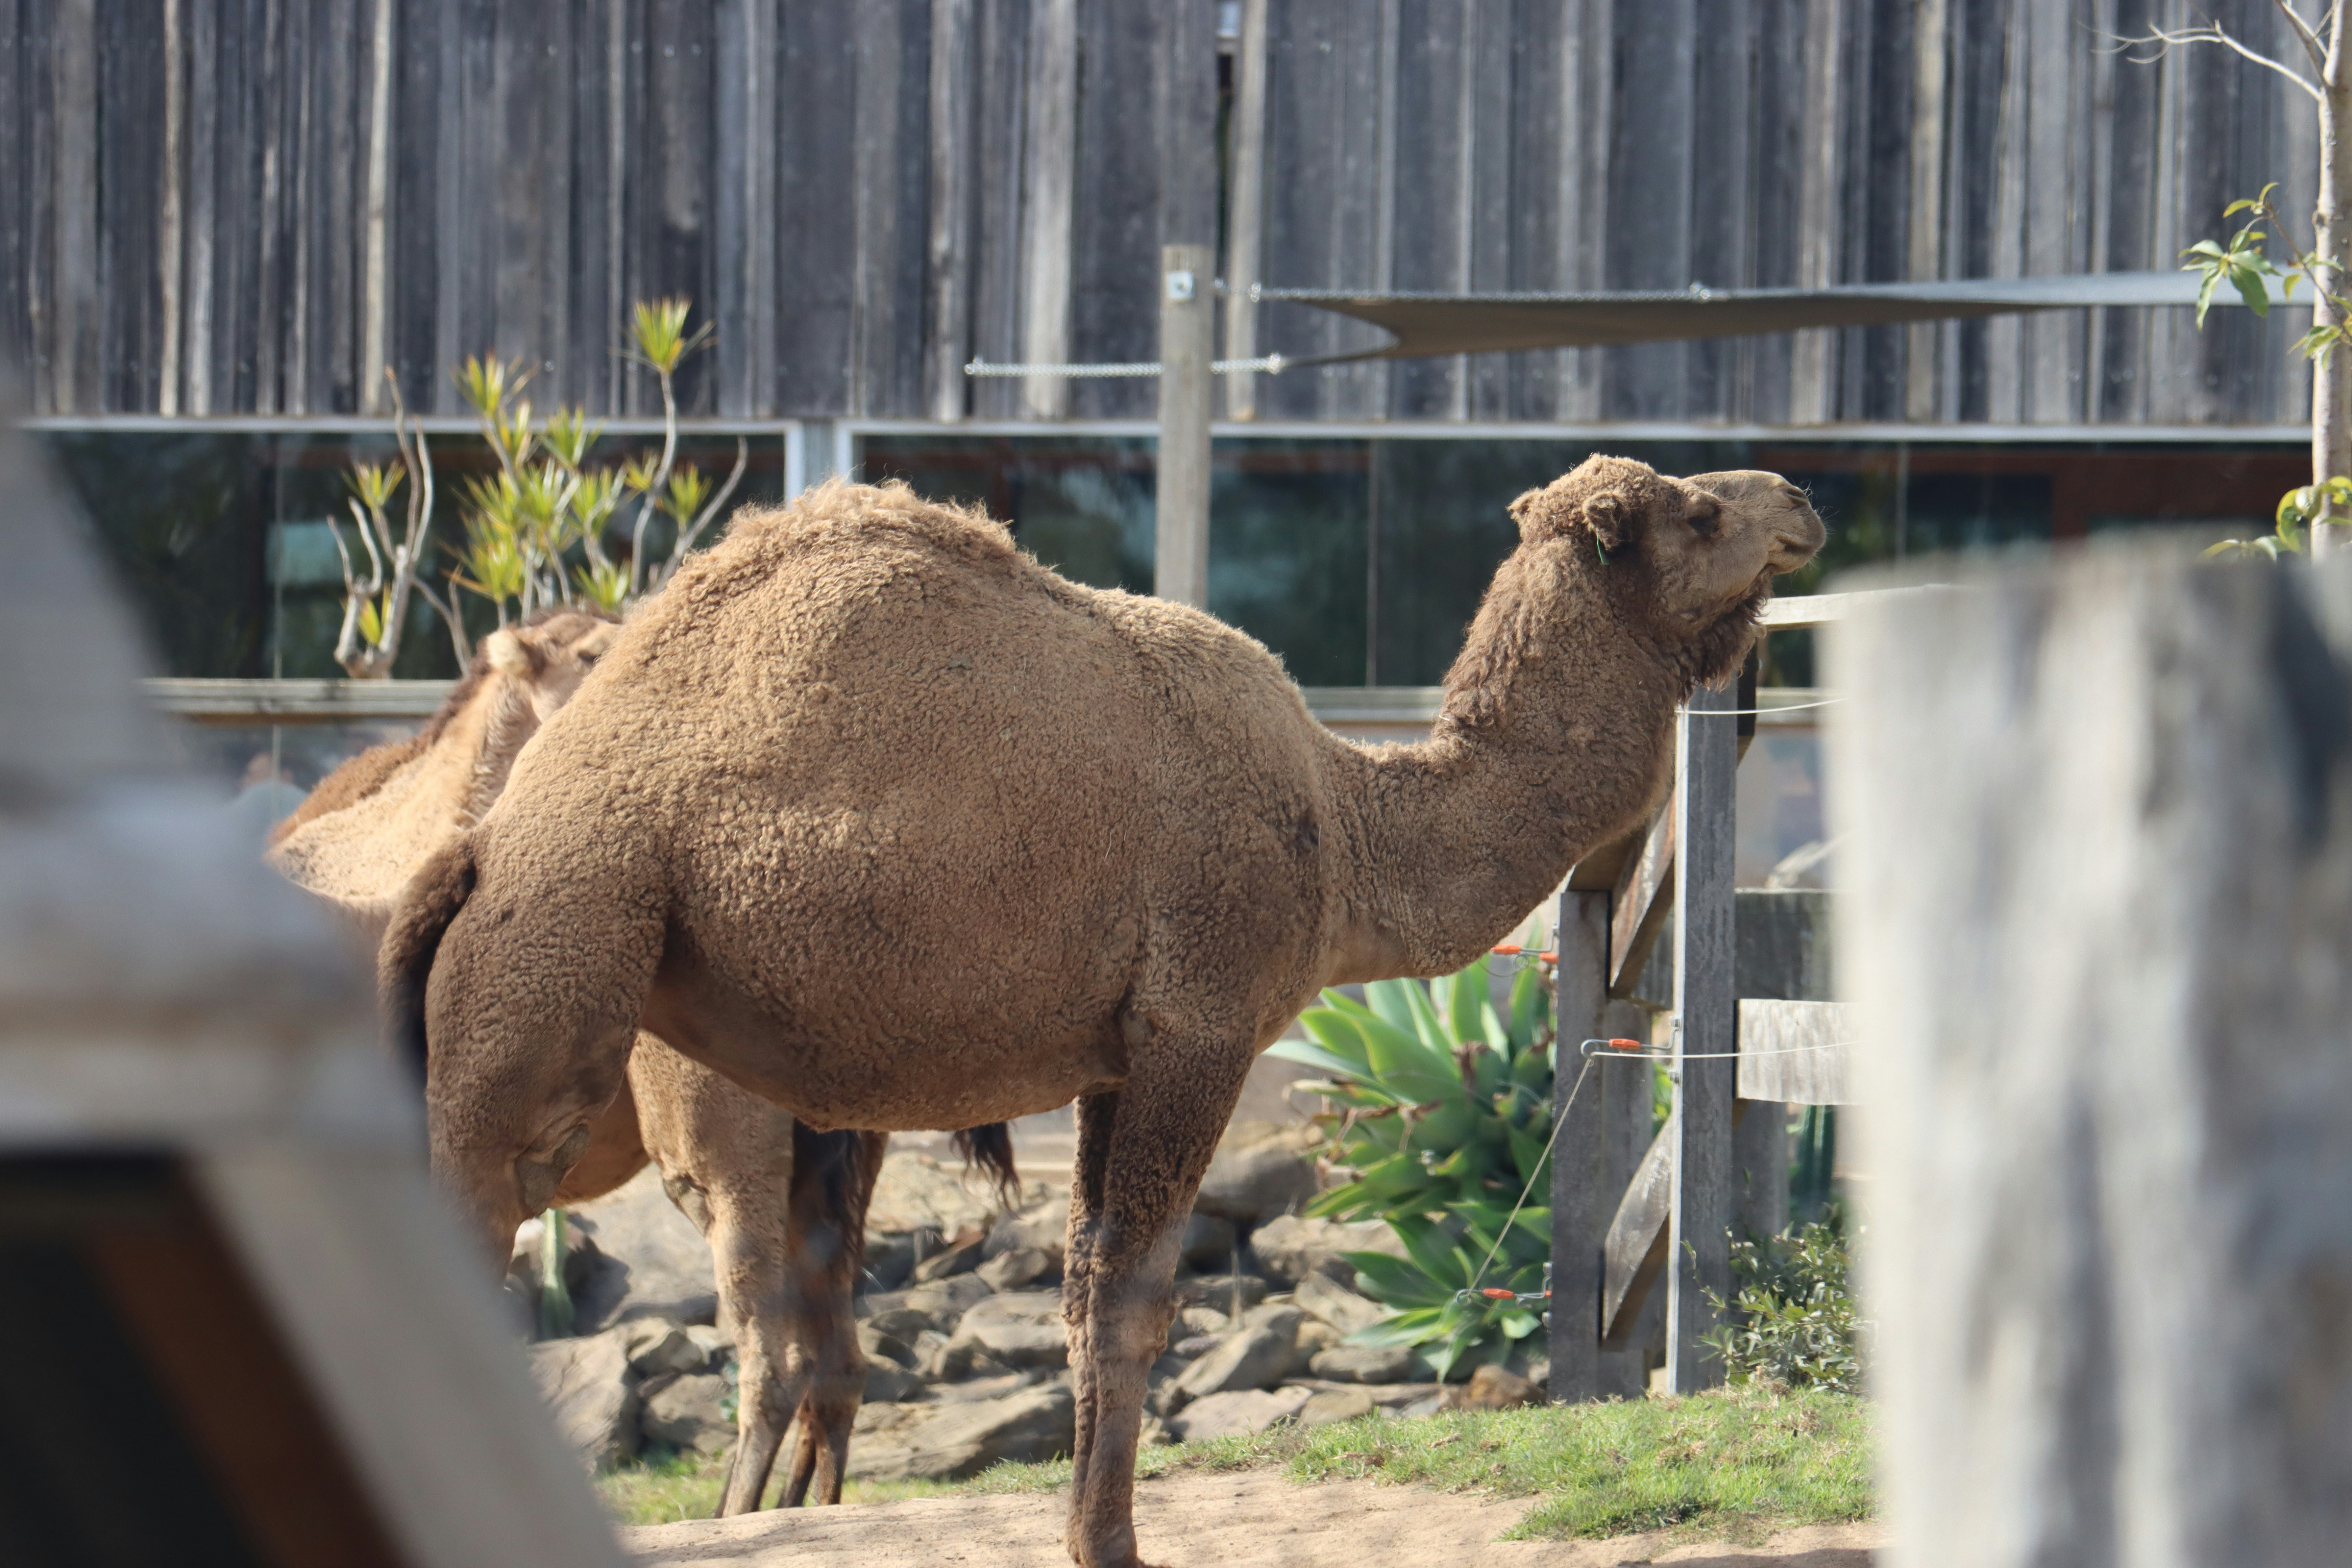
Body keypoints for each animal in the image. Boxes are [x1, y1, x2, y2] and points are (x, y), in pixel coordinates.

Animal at [381, 459, 1823, 1567]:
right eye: (1698, 509)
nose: (1801, 499)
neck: (1349, 820)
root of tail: (475, 847)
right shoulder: (1203, 1020)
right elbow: (1136, 1301)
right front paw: (1114, 1547)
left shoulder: (1109, 1055)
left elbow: (1080, 1296)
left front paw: (1090, 1533)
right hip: (564, 946)